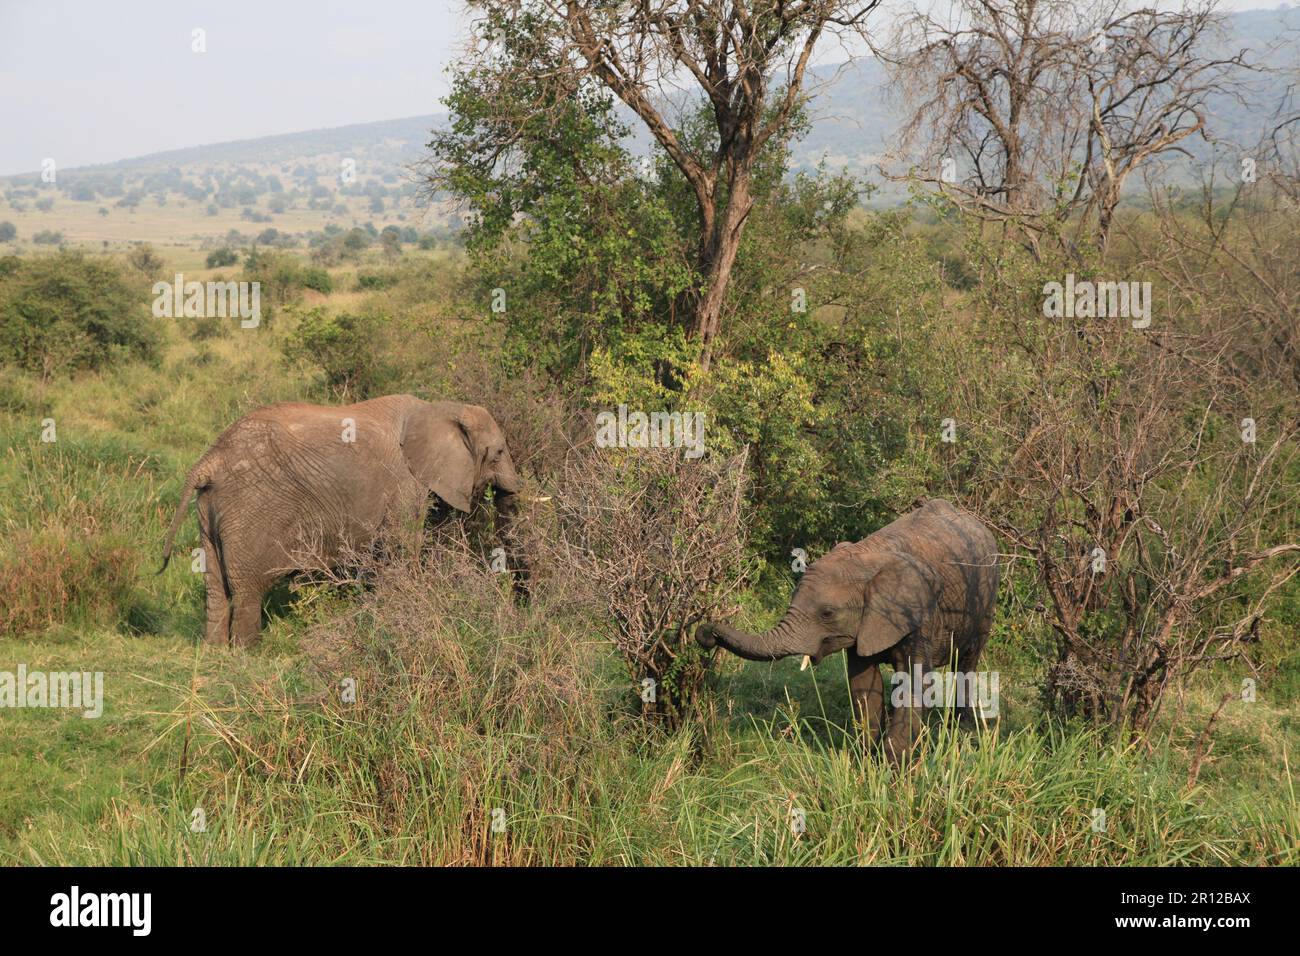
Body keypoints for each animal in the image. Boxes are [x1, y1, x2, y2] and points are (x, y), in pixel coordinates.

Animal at [160, 394, 523, 647]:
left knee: (214, 583)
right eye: (498, 453)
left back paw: (215, 651)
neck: (439, 408)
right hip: (251, 508)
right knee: (247, 586)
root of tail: (209, 459)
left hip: (209, 509)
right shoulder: (404, 483)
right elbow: (403, 546)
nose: (519, 605)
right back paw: (248, 653)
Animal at [697, 499, 999, 762]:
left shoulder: (918, 615)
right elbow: (863, 684)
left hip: (984, 603)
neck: (865, 556)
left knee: (966, 663)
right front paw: (865, 761)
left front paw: (894, 769)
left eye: (827, 613)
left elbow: (914, 682)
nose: (705, 634)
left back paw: (960, 729)